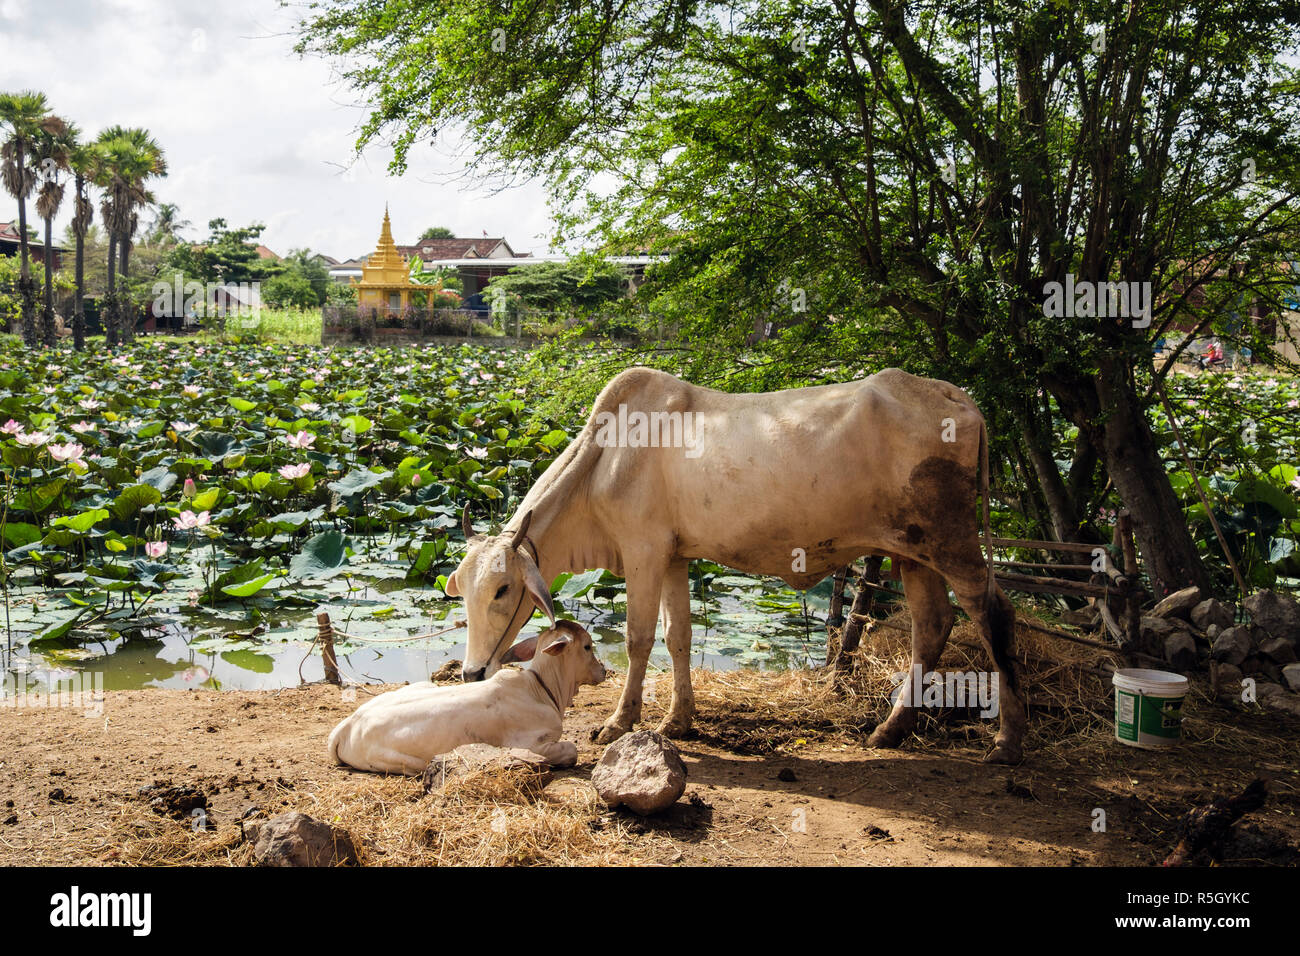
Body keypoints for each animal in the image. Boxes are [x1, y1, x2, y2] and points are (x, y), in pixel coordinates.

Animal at [327, 620, 605, 774]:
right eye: (587, 646)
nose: (603, 670)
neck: (542, 688)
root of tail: (348, 724)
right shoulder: (530, 745)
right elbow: (571, 750)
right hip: (405, 761)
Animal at [446, 367, 1027, 764]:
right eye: (465, 592)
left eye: (502, 590)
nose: (471, 672)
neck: (603, 459)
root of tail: (950, 393)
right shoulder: (675, 556)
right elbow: (677, 635)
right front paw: (679, 721)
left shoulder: (643, 552)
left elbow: (638, 639)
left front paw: (619, 722)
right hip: (913, 552)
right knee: (933, 624)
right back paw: (890, 730)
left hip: (952, 541)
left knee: (994, 612)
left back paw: (1007, 741)